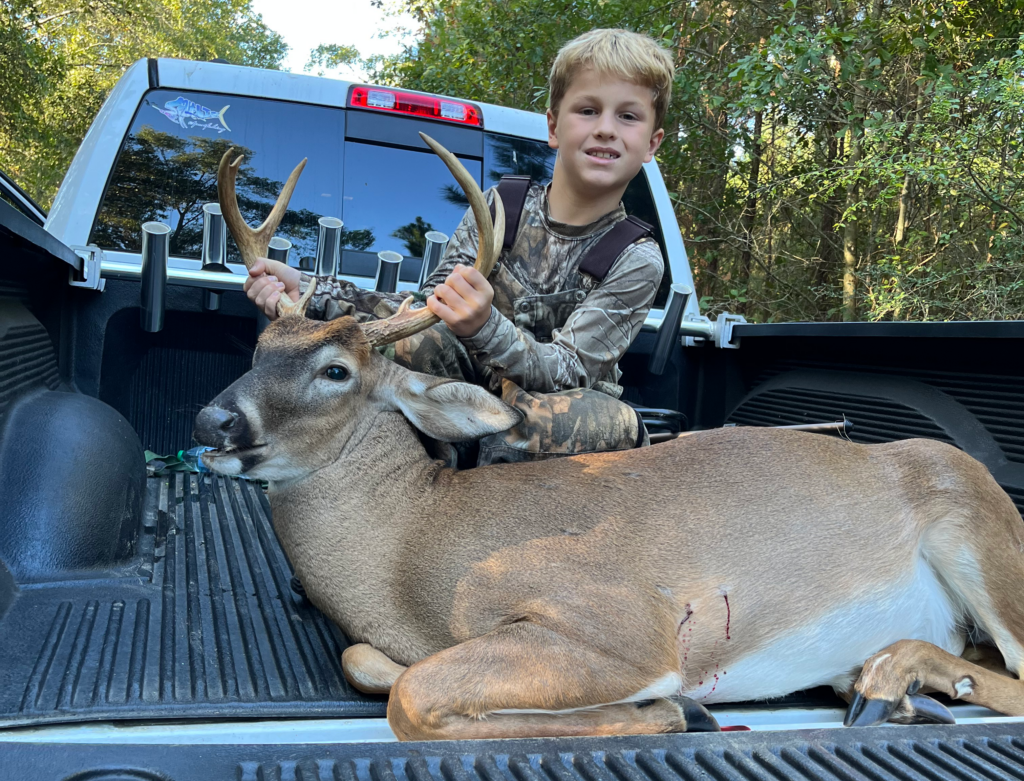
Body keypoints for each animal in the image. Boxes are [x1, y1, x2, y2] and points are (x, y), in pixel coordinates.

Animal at [195, 134, 1024, 742]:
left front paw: (672, 708)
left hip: (982, 536)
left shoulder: (623, 619)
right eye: (257, 350)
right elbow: (368, 661)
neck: (409, 552)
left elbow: (415, 695)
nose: (212, 421)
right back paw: (896, 685)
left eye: (335, 370)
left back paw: (892, 680)